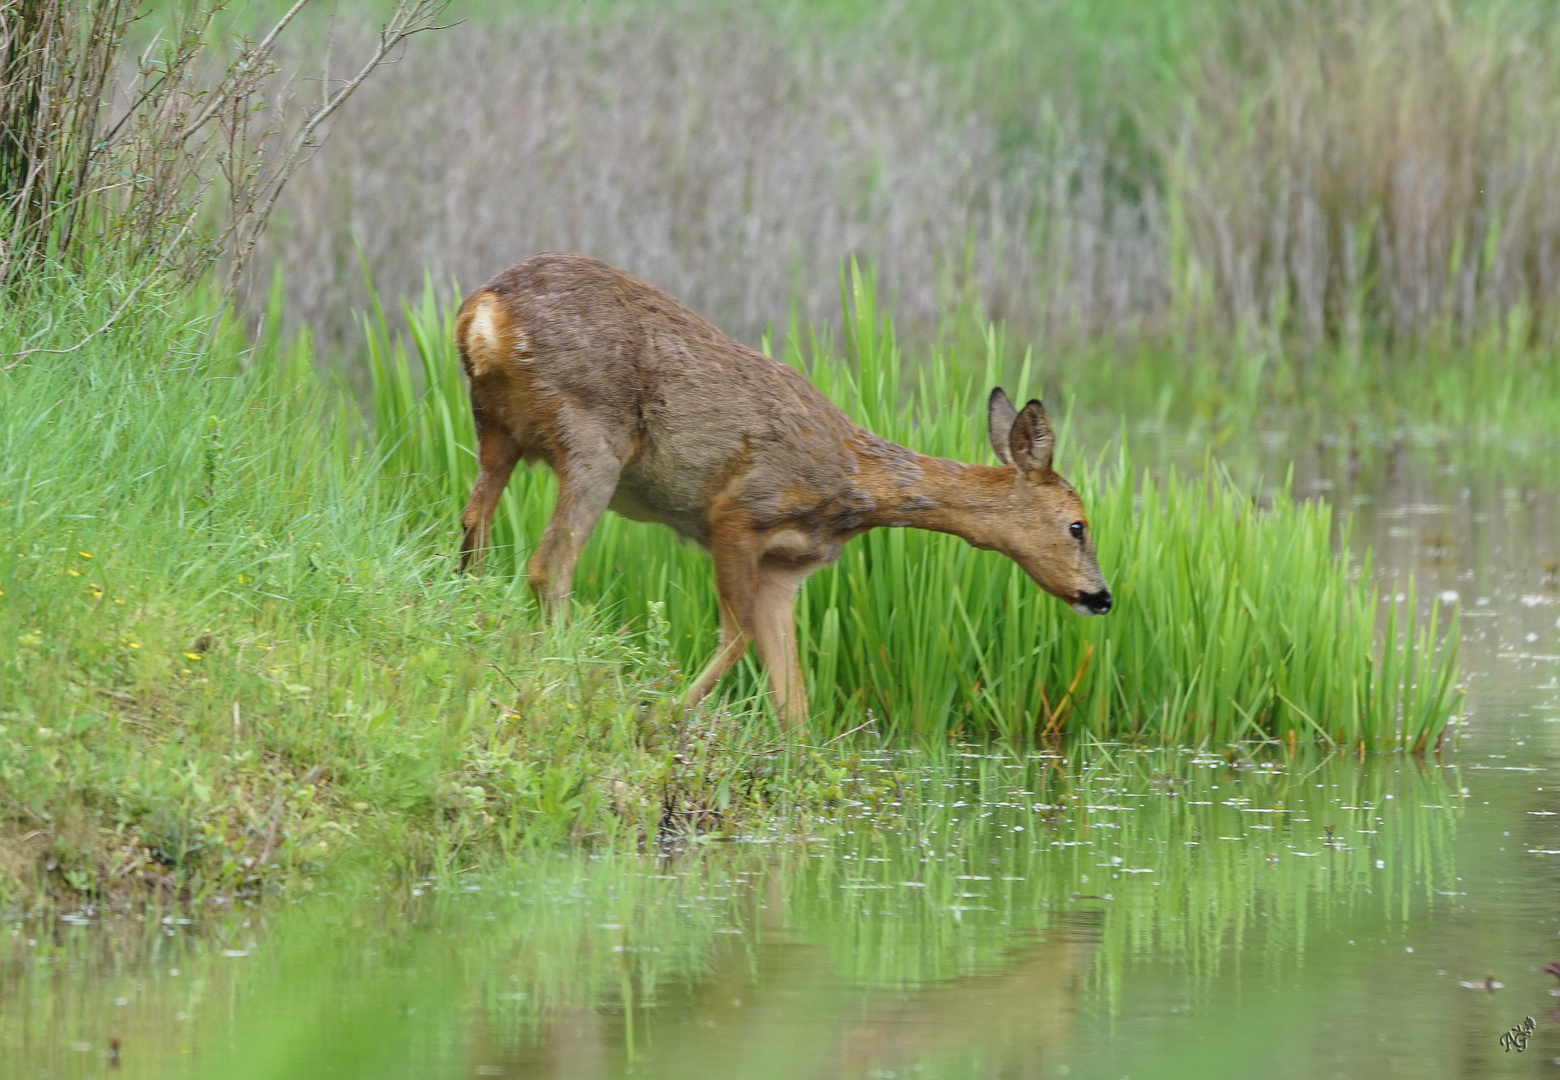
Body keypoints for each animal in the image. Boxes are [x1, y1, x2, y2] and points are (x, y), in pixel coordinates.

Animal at [455, 251, 1116, 733]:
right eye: (1077, 524)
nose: (1102, 596)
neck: (855, 490)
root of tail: (483, 312)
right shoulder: (738, 515)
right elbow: (740, 636)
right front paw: (667, 713)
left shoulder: (786, 569)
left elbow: (793, 701)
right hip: (593, 440)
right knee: (548, 567)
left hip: (497, 428)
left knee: (474, 527)